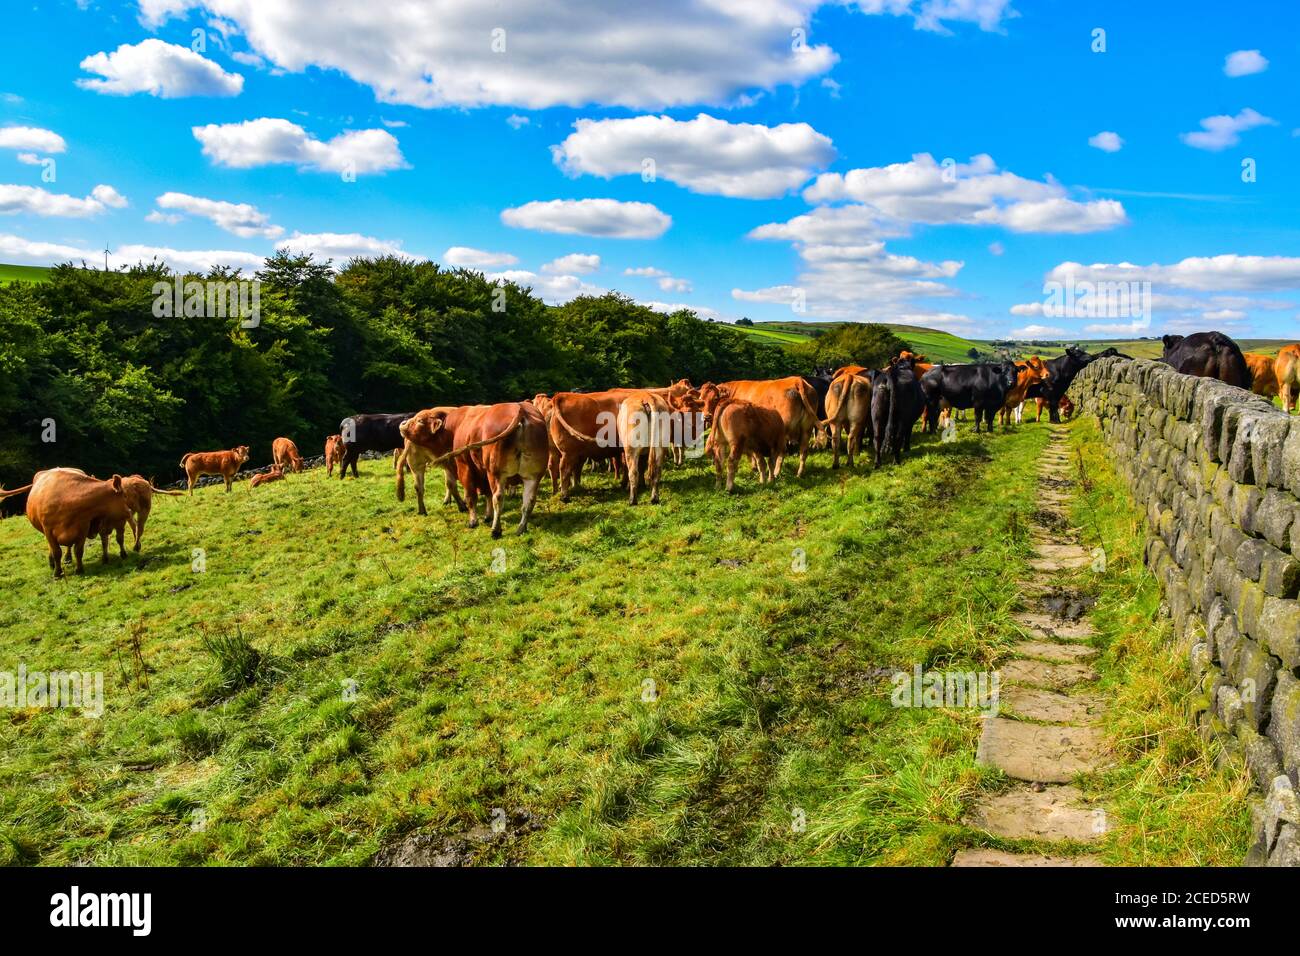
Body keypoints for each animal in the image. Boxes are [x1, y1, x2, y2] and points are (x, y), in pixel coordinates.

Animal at [1, 468, 133, 577]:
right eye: (124, 496)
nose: (130, 512)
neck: (68, 501)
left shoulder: (82, 528)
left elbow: (78, 550)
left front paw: (79, 570)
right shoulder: (48, 530)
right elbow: (56, 551)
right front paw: (57, 573)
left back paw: (68, 558)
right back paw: (52, 562)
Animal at [397, 402, 548, 537]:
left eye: (420, 420)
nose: (403, 424)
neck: (454, 426)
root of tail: (520, 409)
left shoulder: (465, 467)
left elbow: (470, 496)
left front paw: (473, 520)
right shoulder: (481, 471)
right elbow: (486, 493)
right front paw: (487, 515)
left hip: (497, 474)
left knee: (498, 498)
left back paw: (496, 530)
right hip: (532, 477)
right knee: (528, 501)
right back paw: (521, 528)